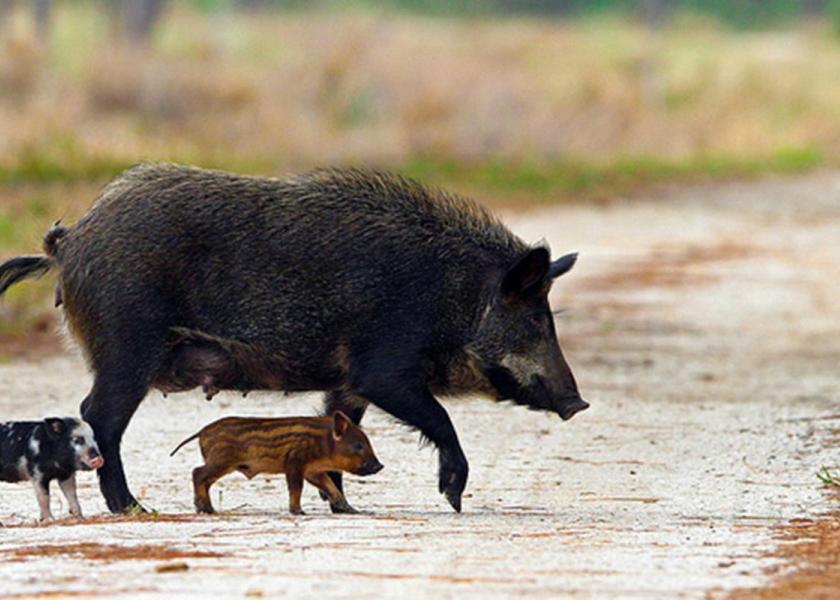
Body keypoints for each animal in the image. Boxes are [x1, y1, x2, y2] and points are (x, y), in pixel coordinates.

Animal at [169, 412, 383, 515]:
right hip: (221, 461)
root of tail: (202, 431)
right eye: (358, 445)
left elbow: (331, 487)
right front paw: (299, 512)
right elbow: (296, 488)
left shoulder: (313, 471)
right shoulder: (294, 463)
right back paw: (207, 510)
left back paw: (206, 509)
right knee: (197, 473)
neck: (323, 442)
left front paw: (353, 511)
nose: (379, 466)